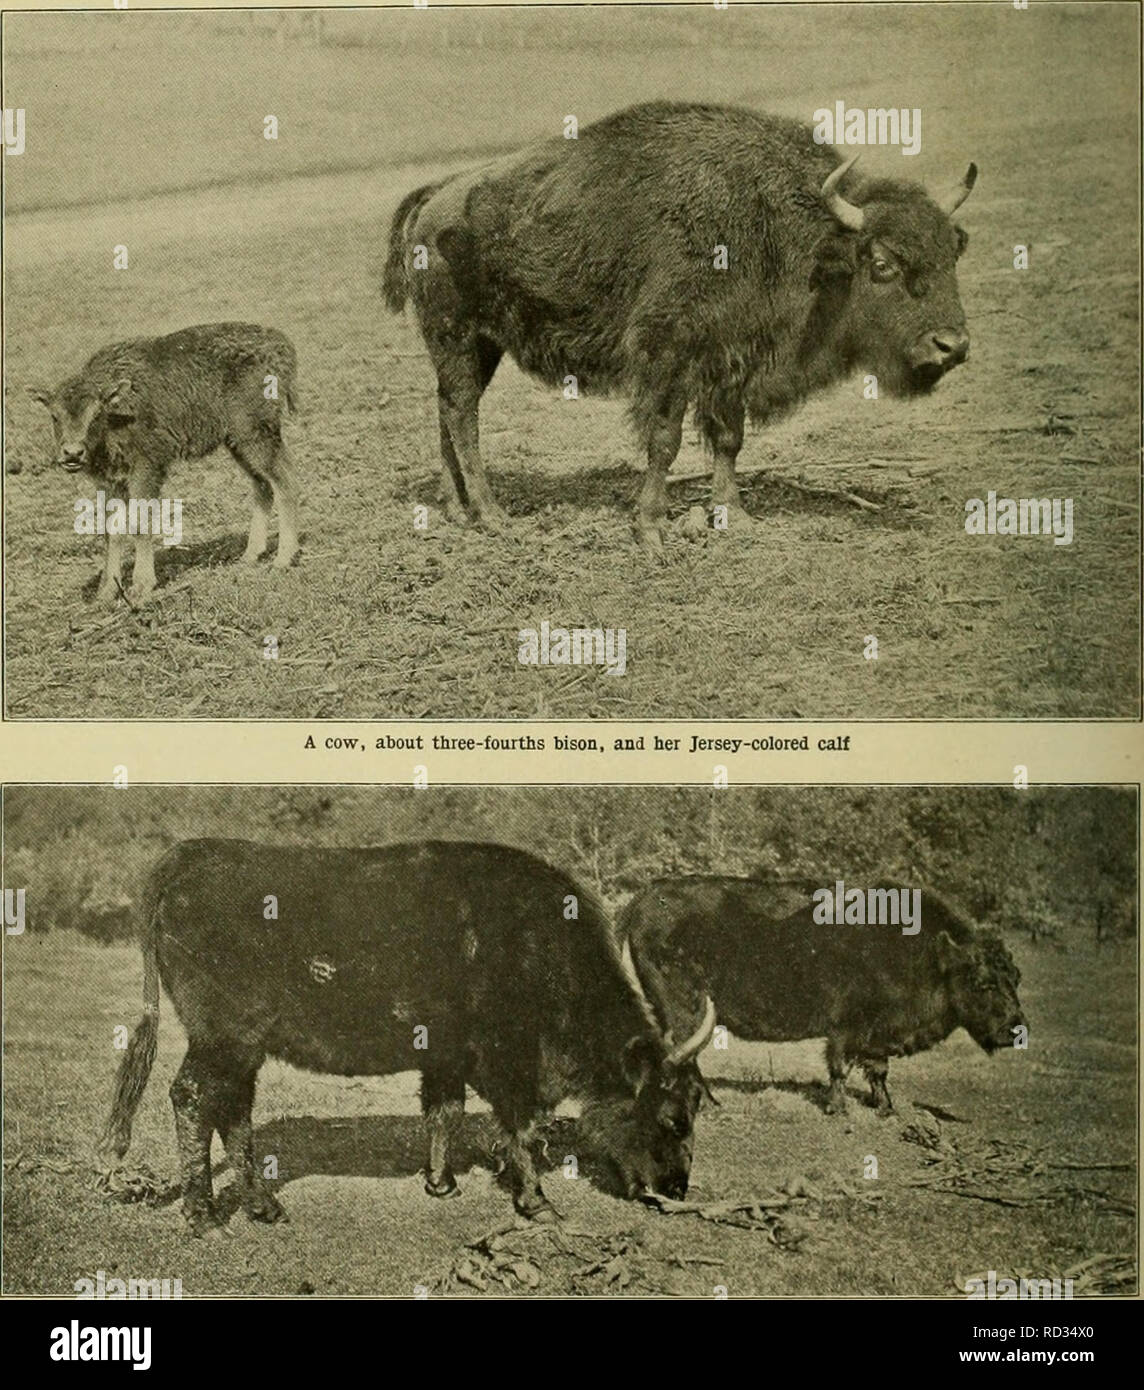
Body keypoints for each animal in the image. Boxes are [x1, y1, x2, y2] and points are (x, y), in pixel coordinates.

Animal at [99, 839, 715, 1234]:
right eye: (671, 1117)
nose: (676, 1188)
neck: (543, 950)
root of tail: (189, 859)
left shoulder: (445, 1056)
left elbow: (444, 1112)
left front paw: (441, 1183)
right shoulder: (506, 1062)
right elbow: (518, 1128)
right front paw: (538, 1203)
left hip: (243, 1050)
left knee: (234, 1112)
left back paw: (264, 1208)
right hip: (223, 1040)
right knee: (192, 1098)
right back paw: (204, 1217)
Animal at [384, 100, 976, 551]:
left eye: (953, 253)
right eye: (883, 262)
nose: (952, 346)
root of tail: (436, 196)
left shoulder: (732, 361)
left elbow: (730, 440)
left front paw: (736, 516)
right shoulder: (669, 358)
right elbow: (664, 441)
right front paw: (651, 530)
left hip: (481, 345)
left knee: (450, 410)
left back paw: (456, 510)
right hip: (458, 334)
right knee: (462, 415)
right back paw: (492, 516)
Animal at [620, 876, 1025, 1114]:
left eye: (1016, 978)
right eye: (983, 982)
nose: (1016, 1029)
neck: (927, 953)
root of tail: (643, 899)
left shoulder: (877, 1033)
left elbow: (878, 1069)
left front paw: (886, 1107)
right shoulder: (847, 1027)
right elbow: (840, 1066)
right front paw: (838, 1108)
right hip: (688, 1008)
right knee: (686, 1052)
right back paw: (711, 1104)